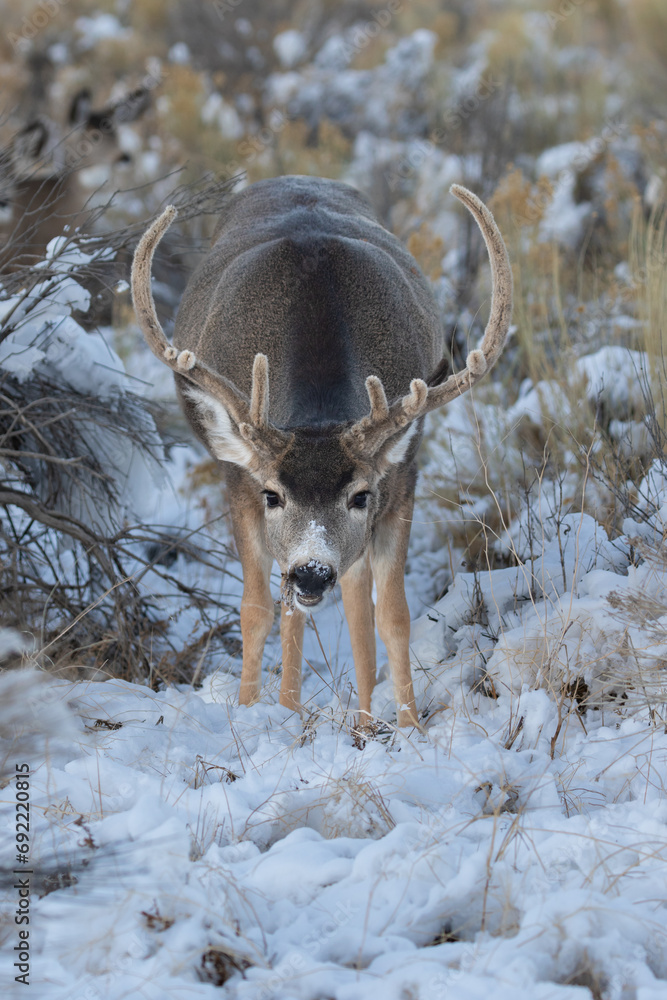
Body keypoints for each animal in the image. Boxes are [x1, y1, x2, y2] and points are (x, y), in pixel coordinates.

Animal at [131, 175, 512, 728]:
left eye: (359, 495)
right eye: (272, 495)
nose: (313, 570)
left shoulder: (400, 479)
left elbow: (391, 615)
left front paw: (409, 727)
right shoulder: (239, 480)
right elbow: (257, 610)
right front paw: (254, 713)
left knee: (352, 601)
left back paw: (361, 716)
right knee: (290, 605)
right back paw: (289, 709)